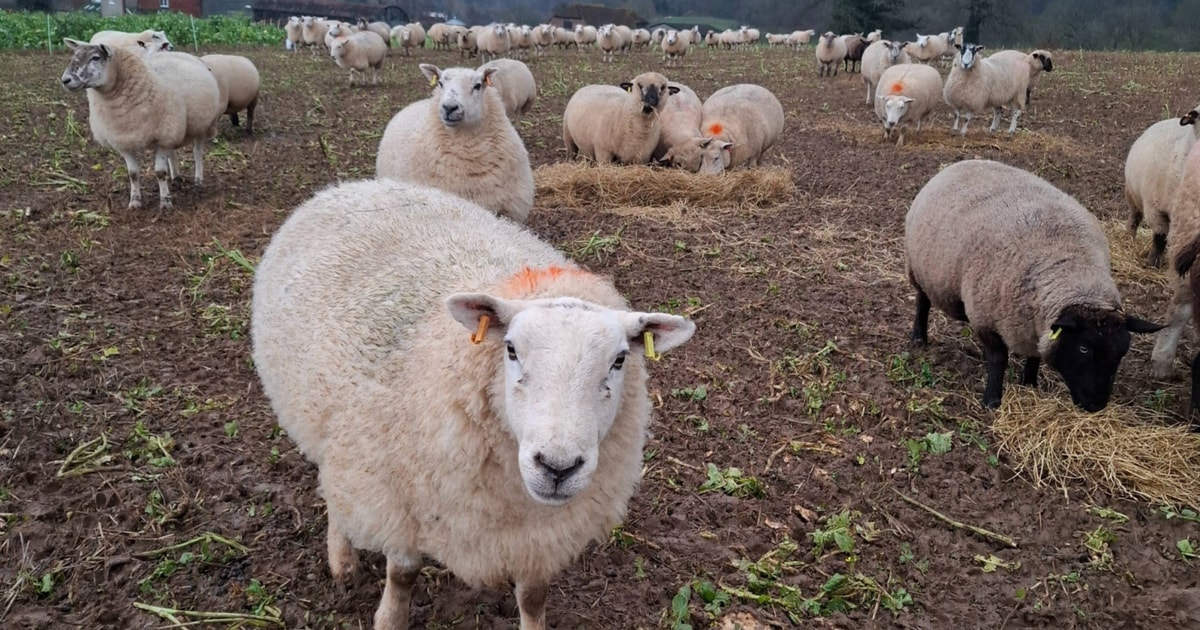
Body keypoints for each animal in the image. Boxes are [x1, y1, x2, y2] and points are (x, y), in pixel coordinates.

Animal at [61, 39, 220, 211]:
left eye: (95, 58)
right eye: (74, 55)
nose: (65, 80)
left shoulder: (162, 138)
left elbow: (160, 172)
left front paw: (165, 202)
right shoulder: (124, 141)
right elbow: (133, 174)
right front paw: (135, 201)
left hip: (199, 126)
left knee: (197, 153)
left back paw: (198, 180)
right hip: (172, 128)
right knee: (172, 153)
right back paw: (176, 178)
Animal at [251, 178, 696, 630]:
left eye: (620, 359)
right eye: (511, 349)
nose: (558, 467)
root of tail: (357, 184)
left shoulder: (539, 538)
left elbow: (533, 597)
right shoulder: (399, 498)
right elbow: (403, 573)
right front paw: (390, 618)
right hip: (334, 433)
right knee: (335, 493)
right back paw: (342, 562)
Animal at [907, 159, 1162, 410]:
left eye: (1121, 353)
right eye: (1084, 348)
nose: (1096, 406)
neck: (1073, 270)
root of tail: (962, 162)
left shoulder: (1036, 324)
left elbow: (1035, 356)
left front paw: (1030, 383)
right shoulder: (985, 317)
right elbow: (998, 359)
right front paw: (992, 400)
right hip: (919, 270)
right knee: (922, 301)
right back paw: (919, 337)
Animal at [1124, 107, 1200, 268]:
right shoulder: (1155, 208)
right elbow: (1159, 237)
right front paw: (1152, 262)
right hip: (1132, 194)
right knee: (1134, 217)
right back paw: (1129, 238)